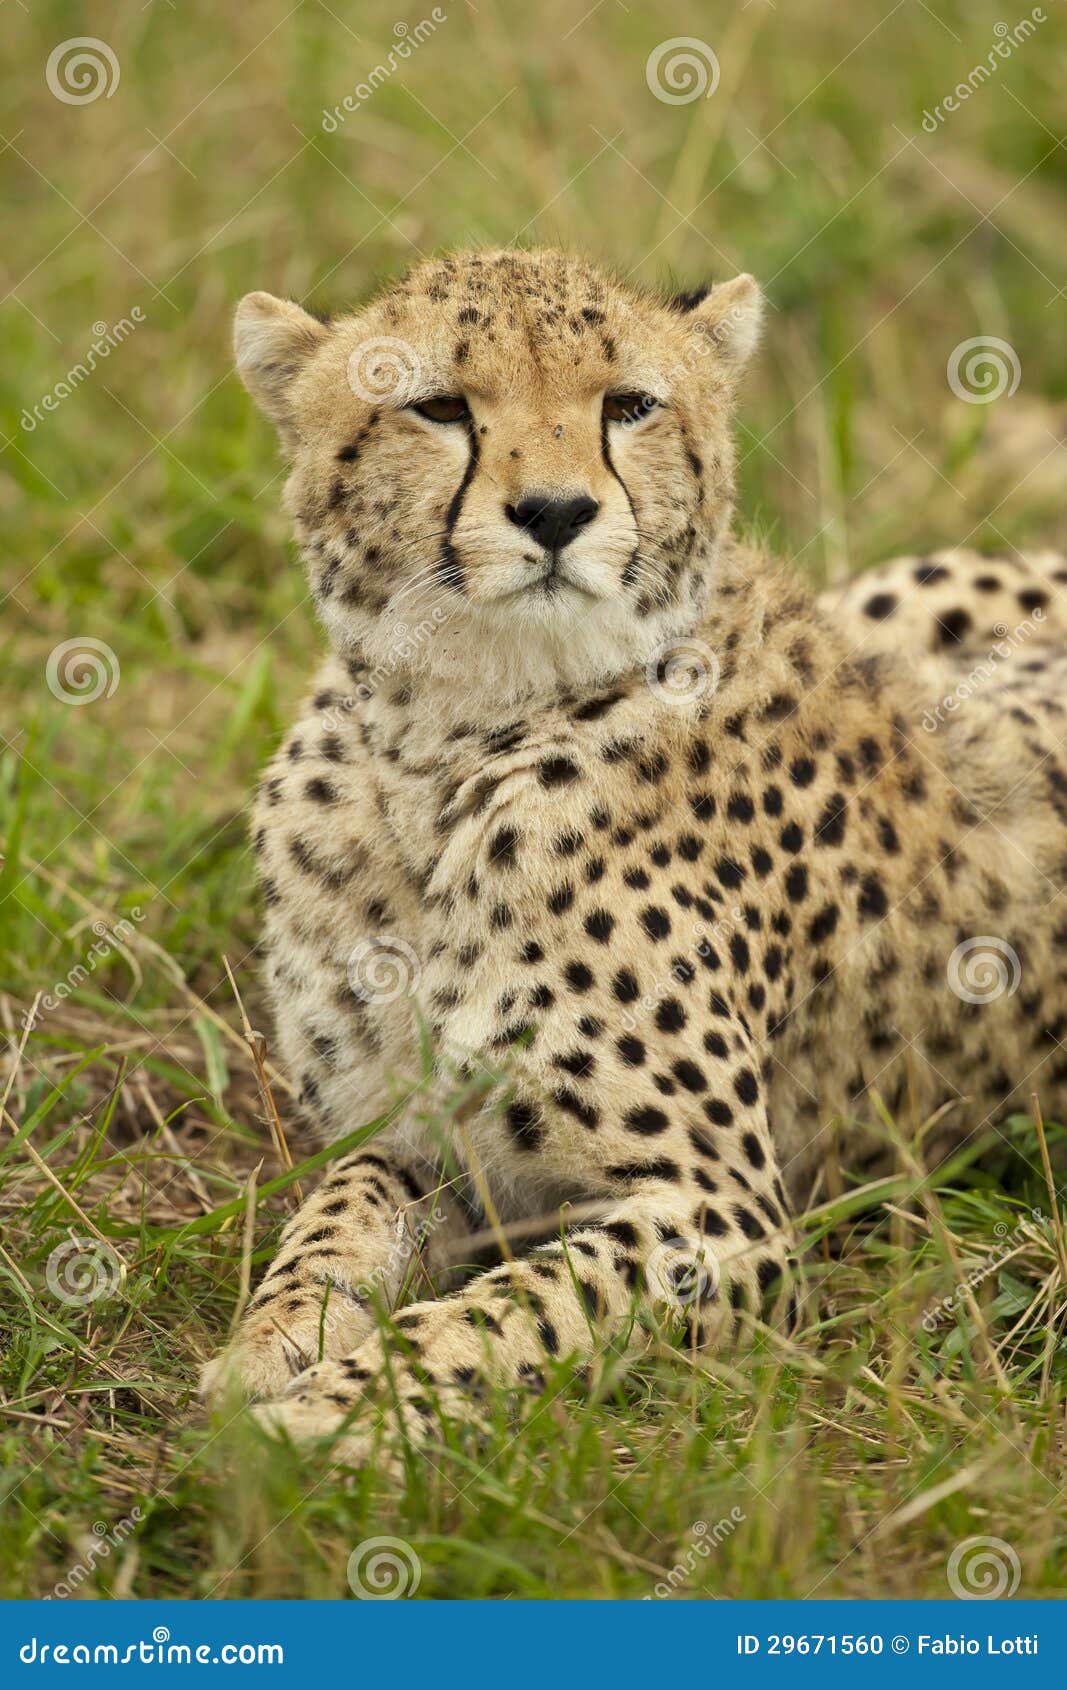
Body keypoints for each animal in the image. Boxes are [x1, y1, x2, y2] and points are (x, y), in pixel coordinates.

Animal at [201, 247, 1067, 1461]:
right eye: (439, 407)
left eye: (628, 405)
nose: (556, 512)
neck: (444, 742)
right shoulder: (412, 1136)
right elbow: (332, 1223)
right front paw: (270, 1345)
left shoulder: (721, 1217)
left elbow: (498, 1319)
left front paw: (332, 1415)